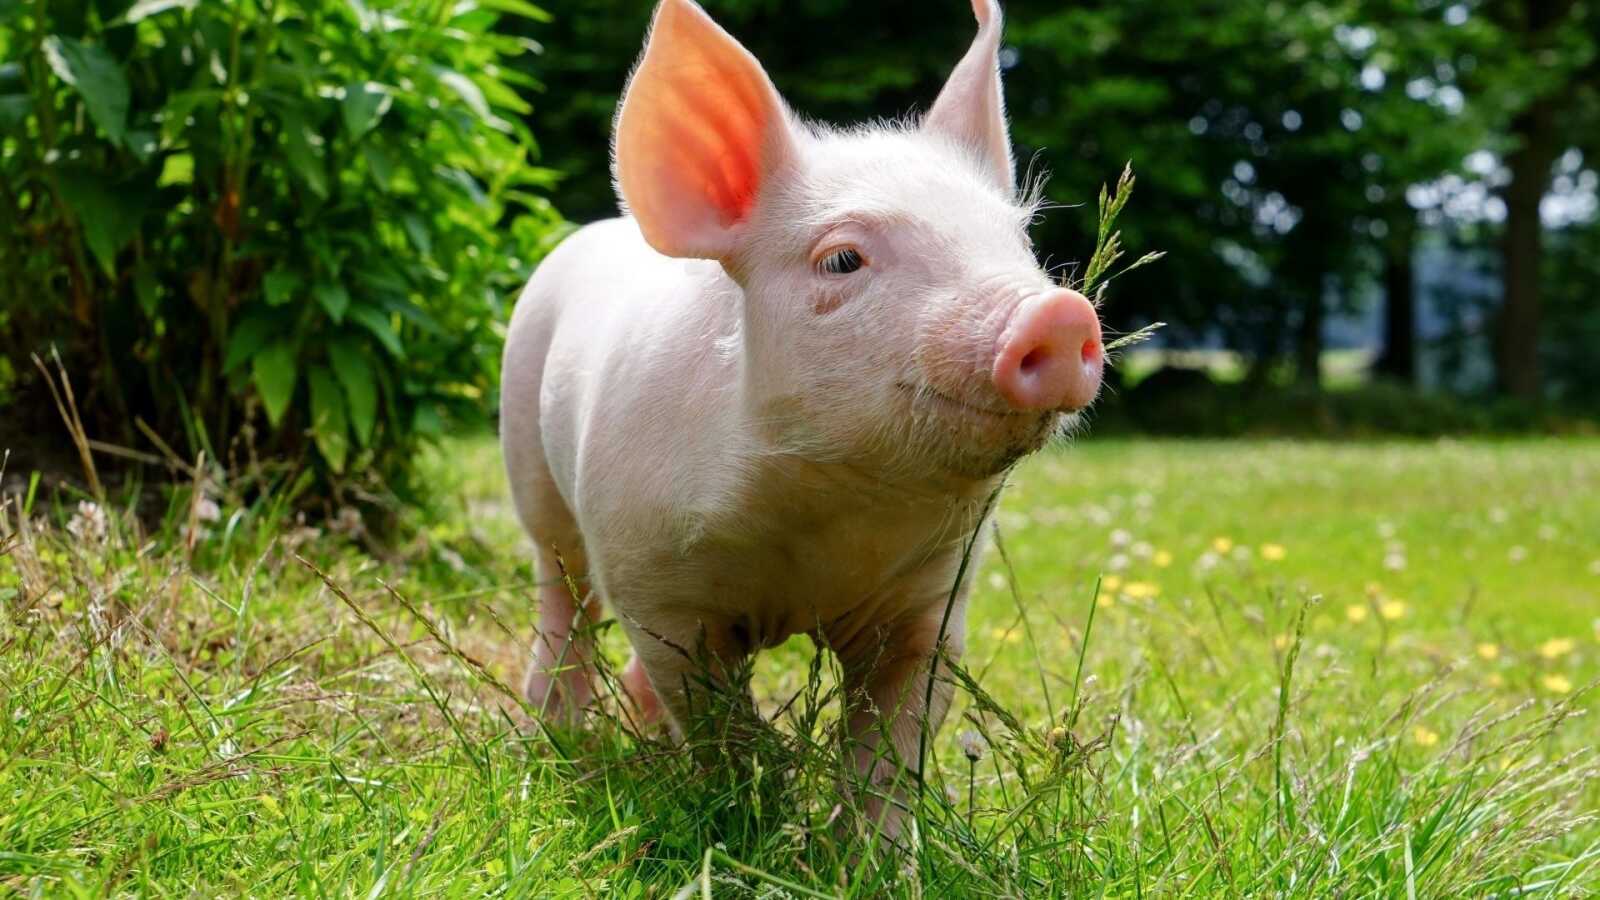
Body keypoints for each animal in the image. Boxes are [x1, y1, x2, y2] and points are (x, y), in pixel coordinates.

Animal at [500, 0, 1104, 835]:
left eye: (1019, 242)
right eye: (842, 259)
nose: (1060, 312)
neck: (825, 519)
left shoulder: (932, 603)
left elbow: (894, 743)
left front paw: (871, 853)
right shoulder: (654, 582)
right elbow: (711, 711)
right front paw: (754, 804)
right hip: (531, 466)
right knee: (564, 598)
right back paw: (552, 737)